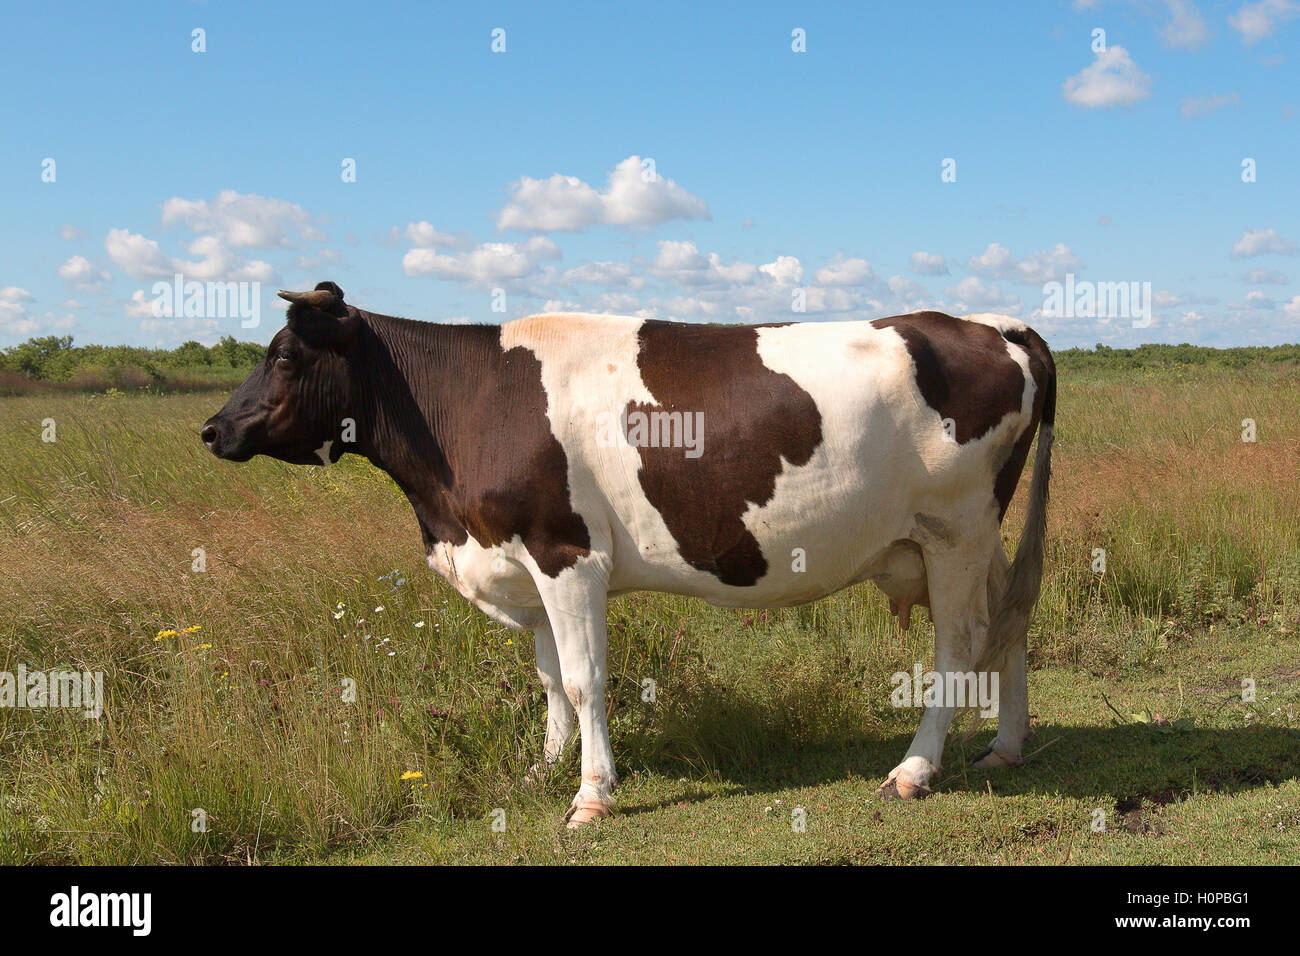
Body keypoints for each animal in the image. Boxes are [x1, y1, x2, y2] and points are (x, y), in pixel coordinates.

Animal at [202, 281, 1055, 826]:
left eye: (285, 356)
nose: (213, 429)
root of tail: (987, 322)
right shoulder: (525, 562)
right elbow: (549, 677)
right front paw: (545, 768)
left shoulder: (566, 554)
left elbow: (583, 679)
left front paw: (591, 795)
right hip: (975, 534)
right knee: (1011, 623)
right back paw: (1005, 747)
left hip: (953, 528)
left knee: (962, 644)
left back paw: (914, 770)